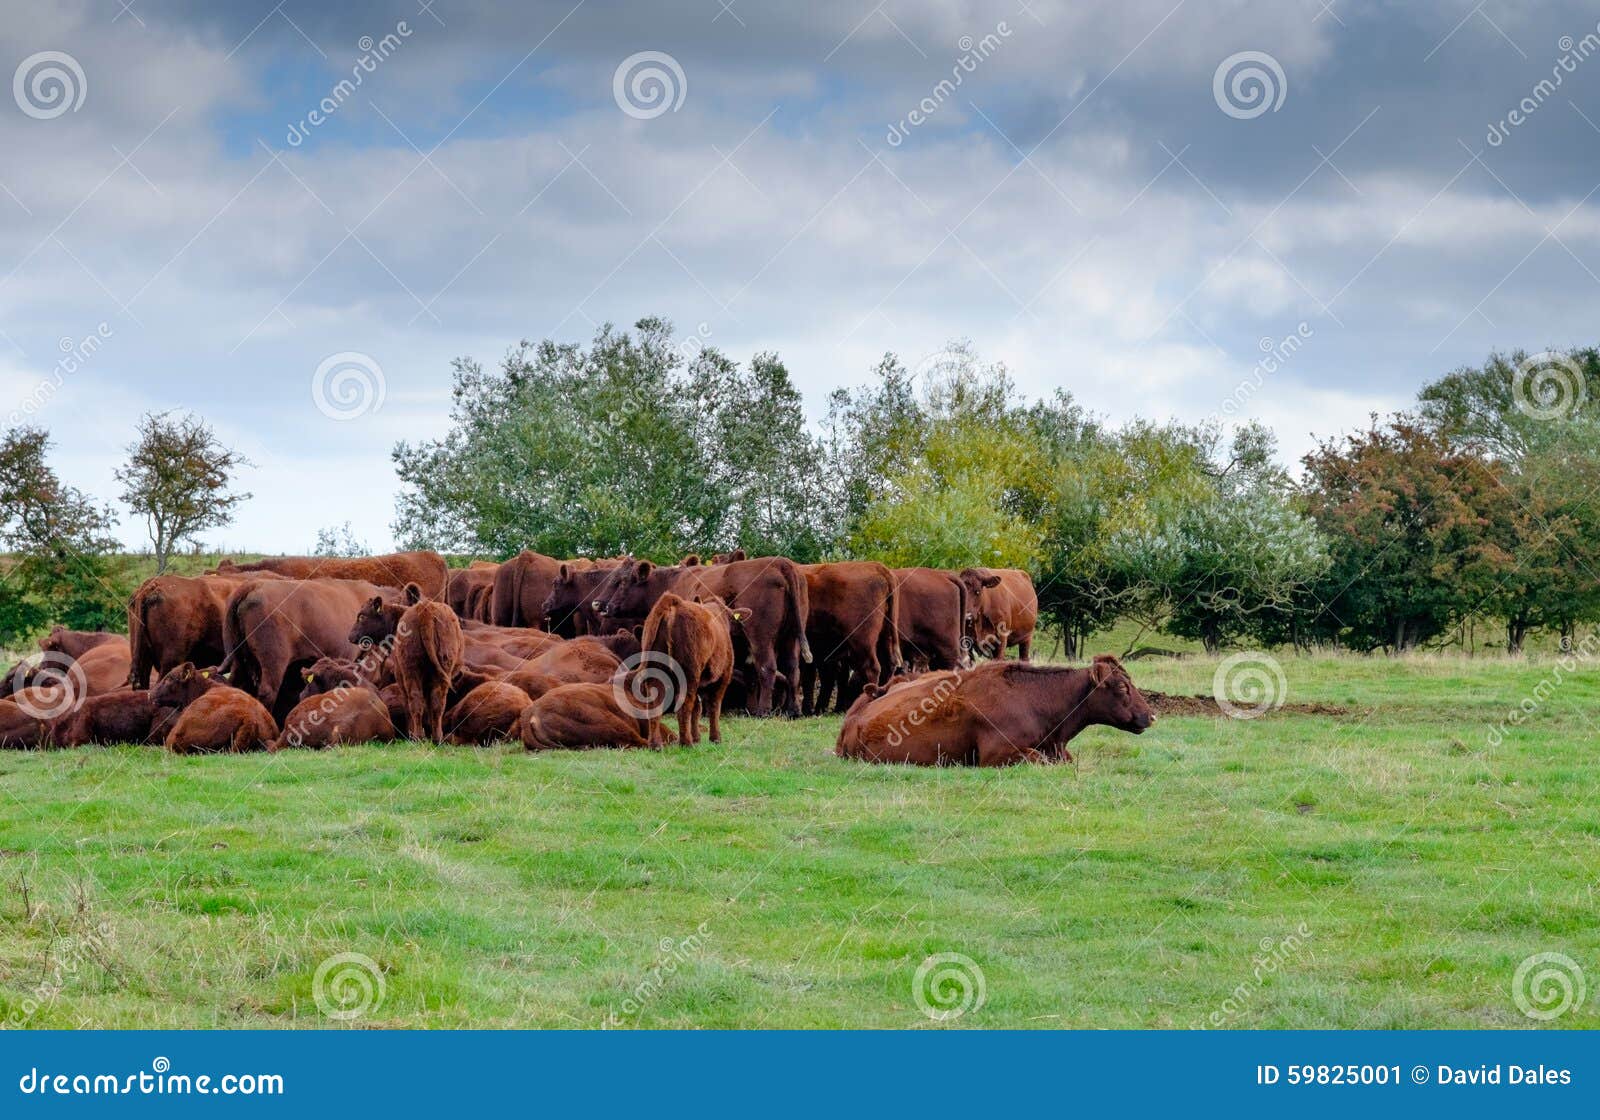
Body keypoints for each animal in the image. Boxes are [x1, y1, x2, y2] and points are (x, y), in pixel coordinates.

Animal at [389, 583, 464, 741]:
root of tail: (425, 611)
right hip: (438, 667)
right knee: (437, 702)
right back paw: (435, 737)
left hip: (412, 667)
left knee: (418, 700)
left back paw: (420, 737)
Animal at [593, 555, 810, 717]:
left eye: (619, 582)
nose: (597, 603)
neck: (672, 581)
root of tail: (781, 563)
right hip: (791, 637)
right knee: (792, 669)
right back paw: (792, 710)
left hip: (760, 638)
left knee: (767, 668)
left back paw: (763, 710)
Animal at [633, 592, 746, 746]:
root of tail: (675, 603)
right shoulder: (724, 676)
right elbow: (714, 706)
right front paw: (715, 738)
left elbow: (697, 708)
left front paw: (697, 737)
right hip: (688, 674)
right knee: (684, 705)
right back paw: (686, 742)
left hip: (657, 672)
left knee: (655, 705)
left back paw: (656, 745)